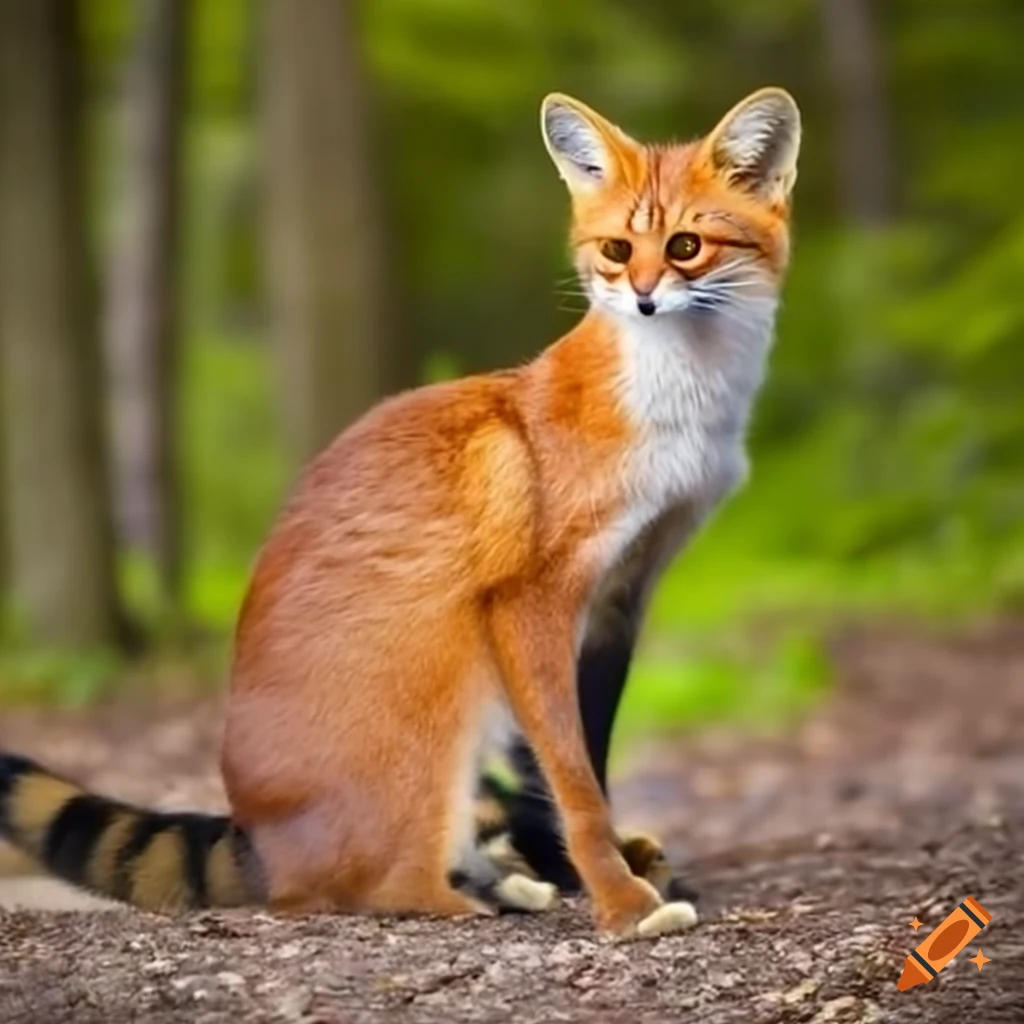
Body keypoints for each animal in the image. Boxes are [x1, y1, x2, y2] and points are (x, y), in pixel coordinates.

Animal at [0, 86, 800, 938]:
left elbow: (577, 765)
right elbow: (573, 780)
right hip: (443, 685)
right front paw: (619, 903)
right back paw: (478, 895)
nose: (645, 299)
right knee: (369, 886)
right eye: (616, 251)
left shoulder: (624, 594)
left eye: (686, 246)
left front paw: (592, 873)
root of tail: (256, 834)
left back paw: (507, 875)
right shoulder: (532, 603)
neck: (679, 420)